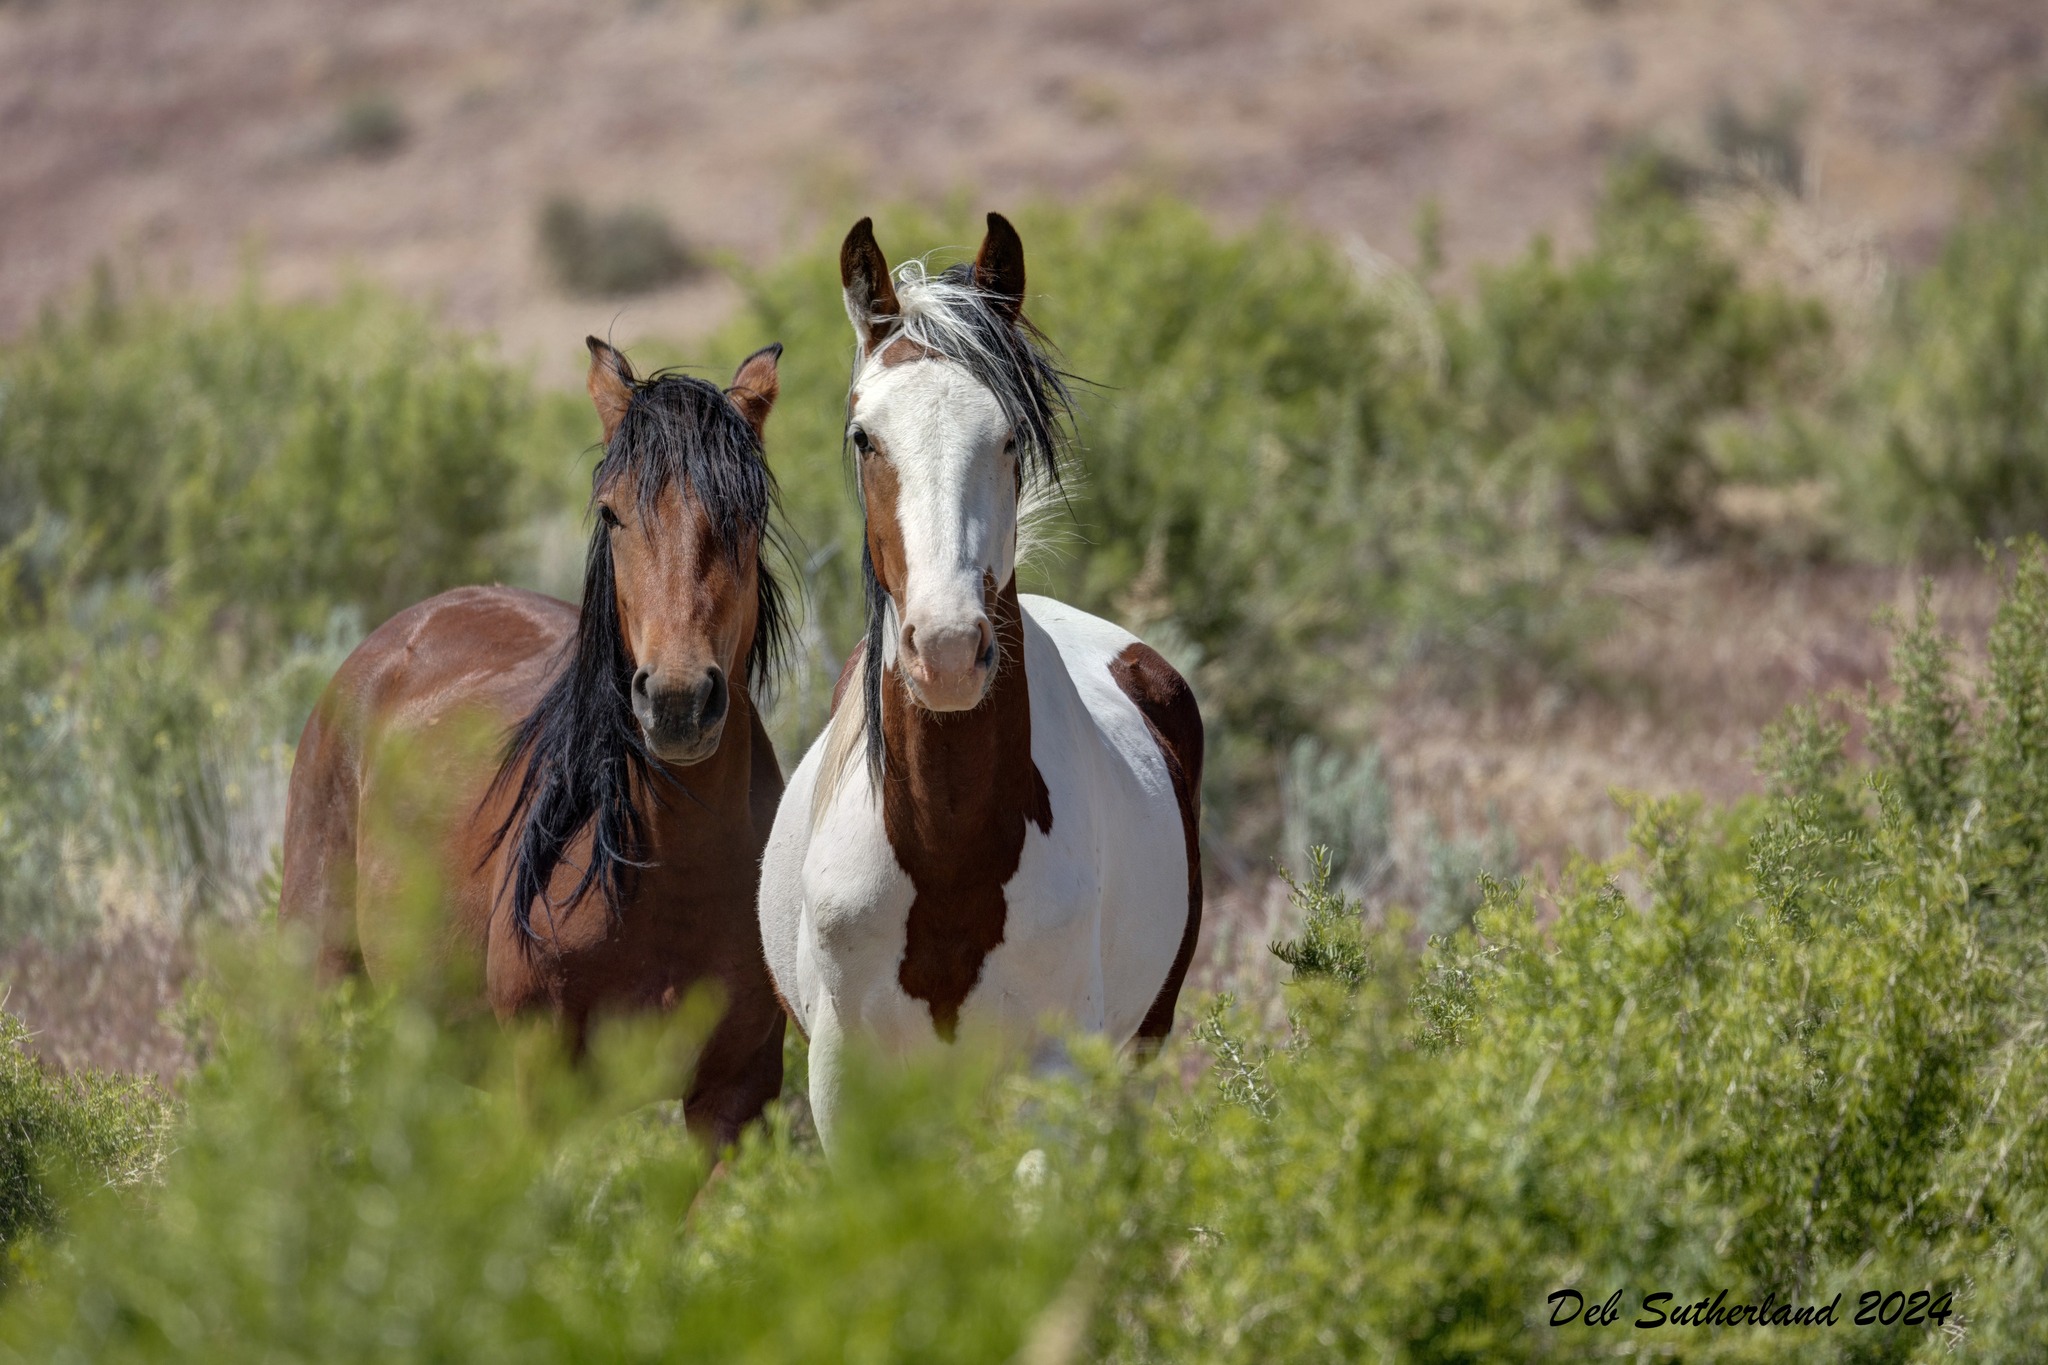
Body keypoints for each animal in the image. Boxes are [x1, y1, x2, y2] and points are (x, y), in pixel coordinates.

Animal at [278, 338, 793, 1148]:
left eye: (747, 512)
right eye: (613, 513)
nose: (678, 701)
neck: (673, 872)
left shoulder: (737, 1098)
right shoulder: (541, 1086)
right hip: (320, 981)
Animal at [758, 214, 1203, 1150]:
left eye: (1008, 435)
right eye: (864, 435)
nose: (950, 650)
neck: (951, 851)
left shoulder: (1056, 1078)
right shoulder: (845, 1087)